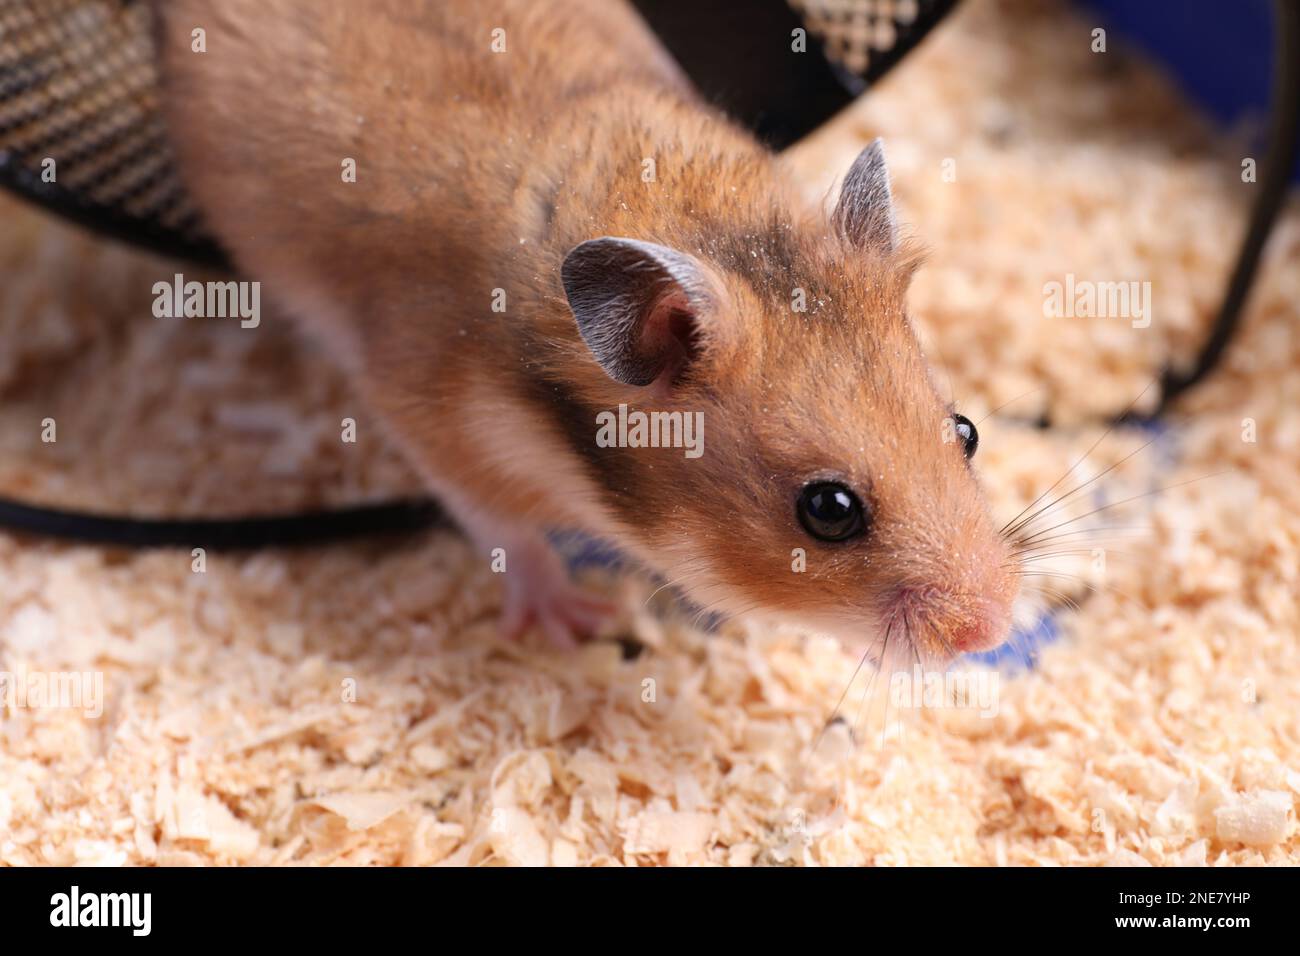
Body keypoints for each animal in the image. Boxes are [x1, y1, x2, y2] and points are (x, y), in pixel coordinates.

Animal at [151, 0, 1018, 659]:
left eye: (966, 431)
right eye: (828, 510)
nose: (993, 630)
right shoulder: (435, 425)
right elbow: (509, 534)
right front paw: (577, 626)